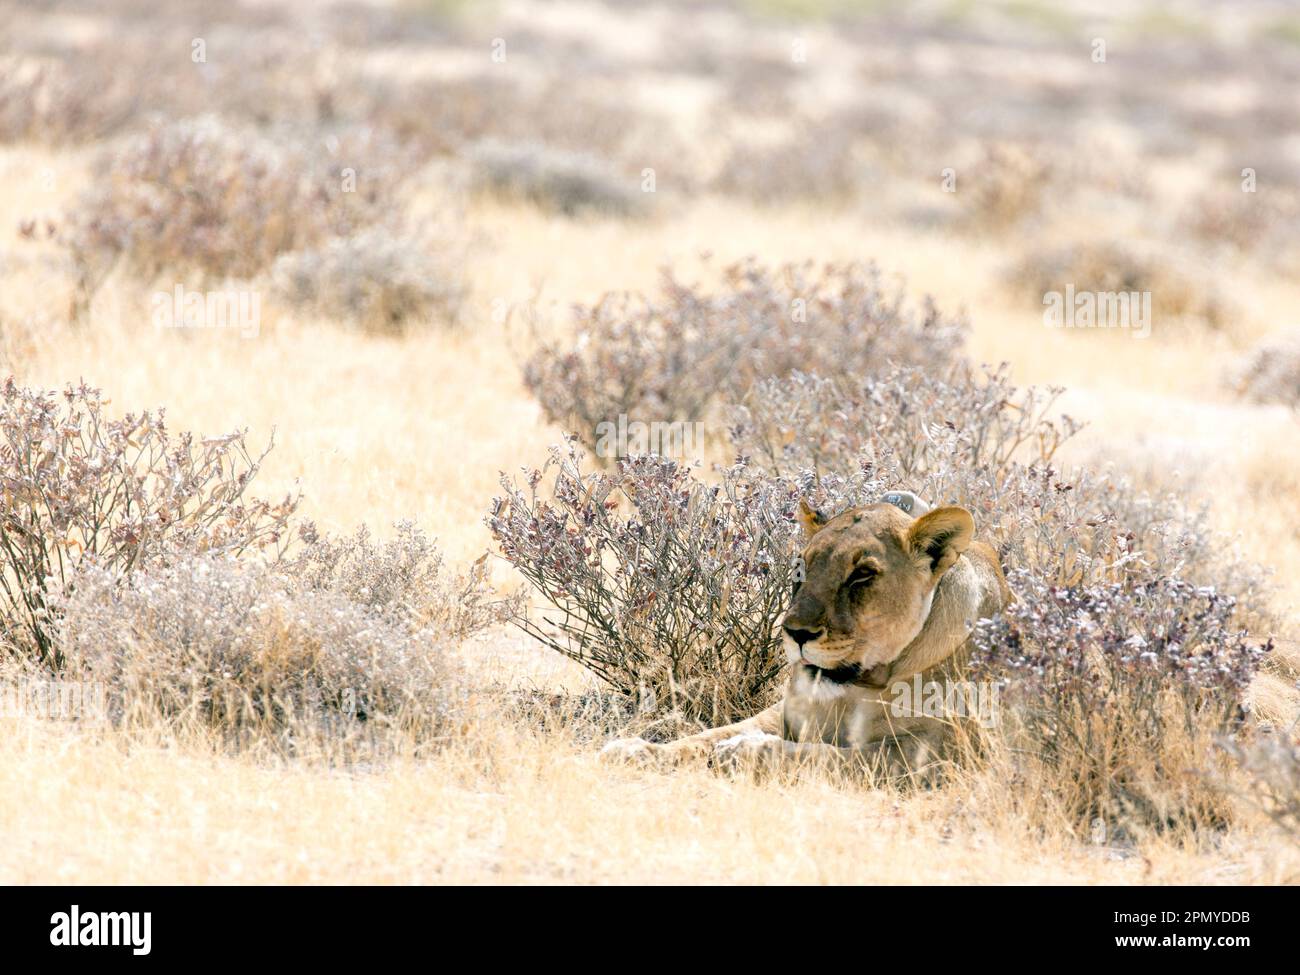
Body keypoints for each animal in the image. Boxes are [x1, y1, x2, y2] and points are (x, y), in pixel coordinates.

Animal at [600, 492, 1012, 777]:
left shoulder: (934, 756)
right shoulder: (783, 714)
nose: (795, 633)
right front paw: (634, 750)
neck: (856, 690)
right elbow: (707, 735)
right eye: (802, 567)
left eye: (862, 574)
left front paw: (743, 751)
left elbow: (825, 756)